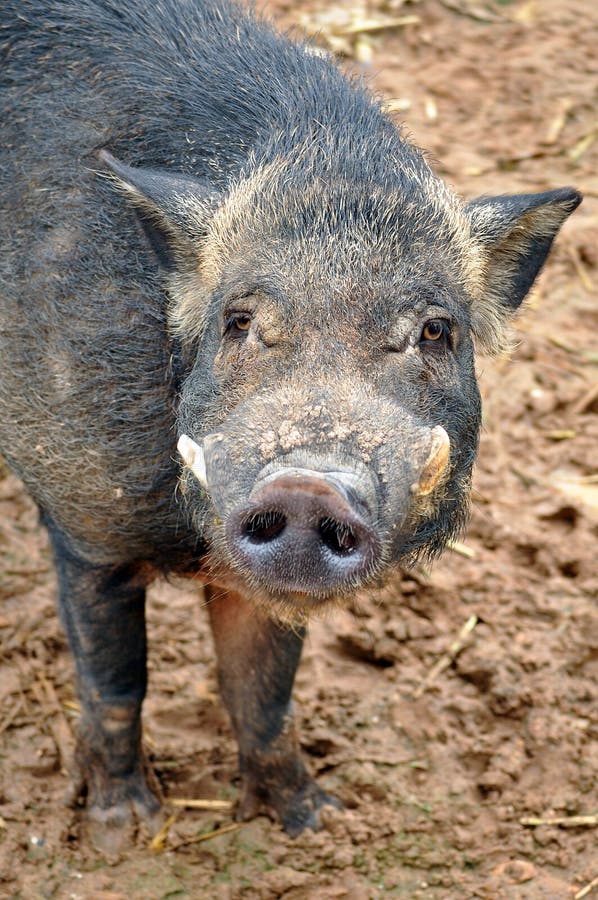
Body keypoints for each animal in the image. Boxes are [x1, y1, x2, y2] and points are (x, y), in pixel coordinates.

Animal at [0, 0, 580, 852]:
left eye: (436, 330)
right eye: (238, 320)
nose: (309, 486)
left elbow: (264, 689)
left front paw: (316, 823)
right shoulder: (85, 522)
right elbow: (115, 682)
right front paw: (122, 834)